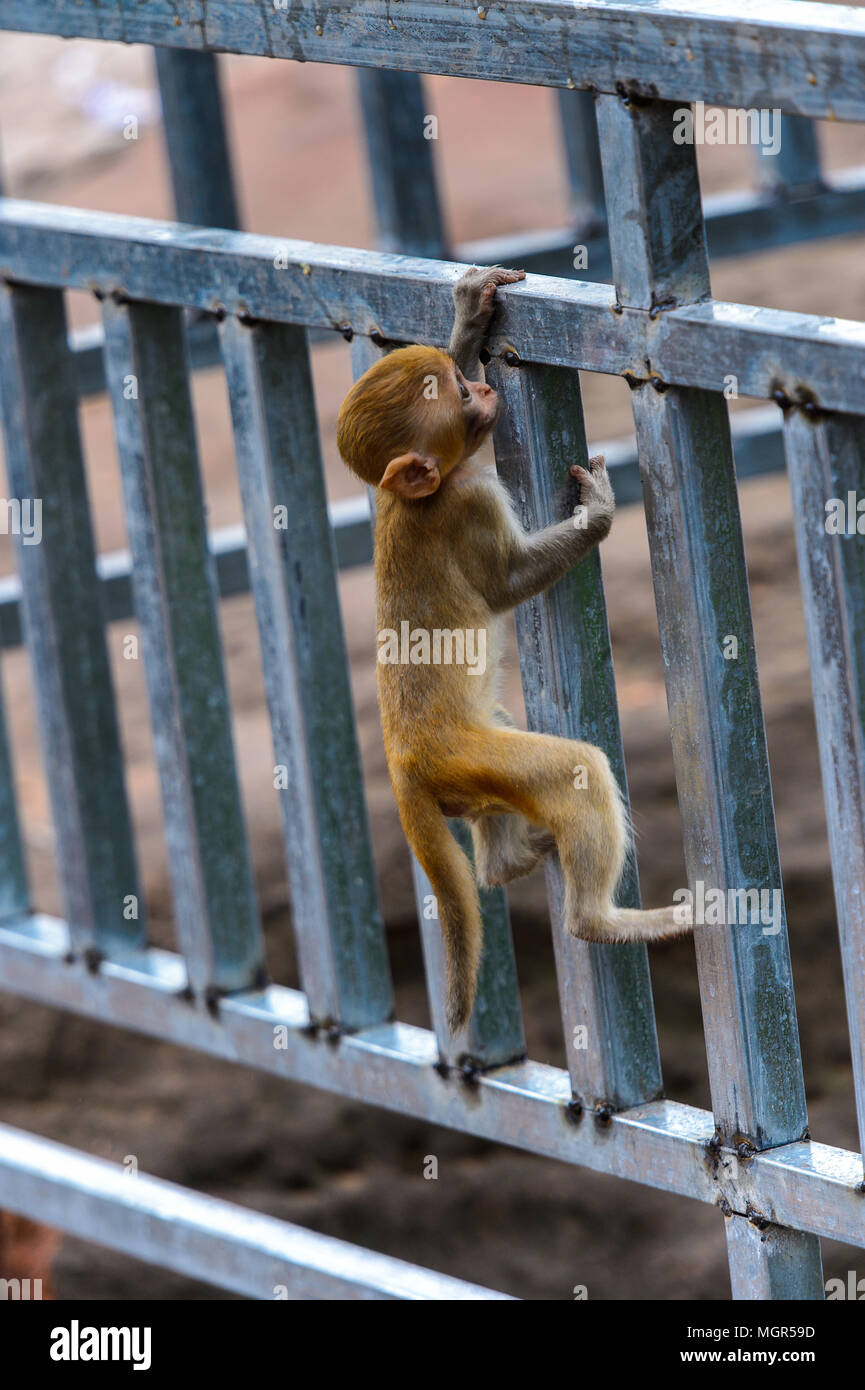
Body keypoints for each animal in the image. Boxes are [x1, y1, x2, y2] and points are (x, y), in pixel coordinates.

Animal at [337, 266, 692, 1032]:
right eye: (460, 398)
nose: (486, 389)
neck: (416, 495)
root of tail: (404, 766)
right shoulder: (467, 506)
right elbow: (507, 584)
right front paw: (597, 513)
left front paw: (468, 320)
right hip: (471, 754)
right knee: (571, 772)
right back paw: (602, 921)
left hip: (473, 765)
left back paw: (507, 863)